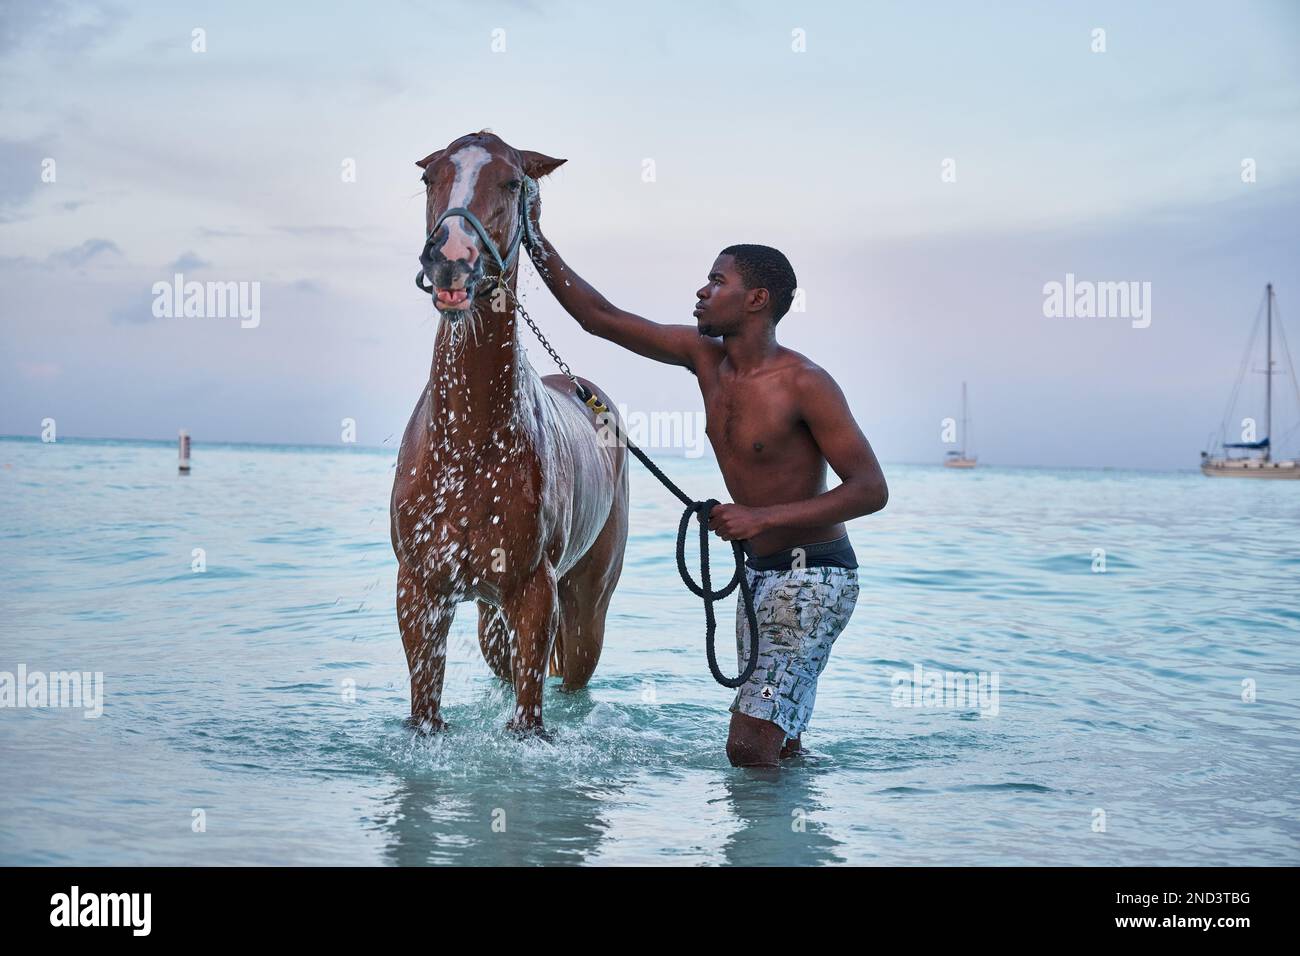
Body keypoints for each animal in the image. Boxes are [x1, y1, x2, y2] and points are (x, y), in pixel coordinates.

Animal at [390, 131, 629, 736]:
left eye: (513, 182)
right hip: (489, 617)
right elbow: (425, 711)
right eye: (430, 178)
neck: (469, 442)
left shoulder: (534, 595)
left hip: (585, 611)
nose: (451, 259)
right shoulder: (420, 592)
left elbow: (528, 718)